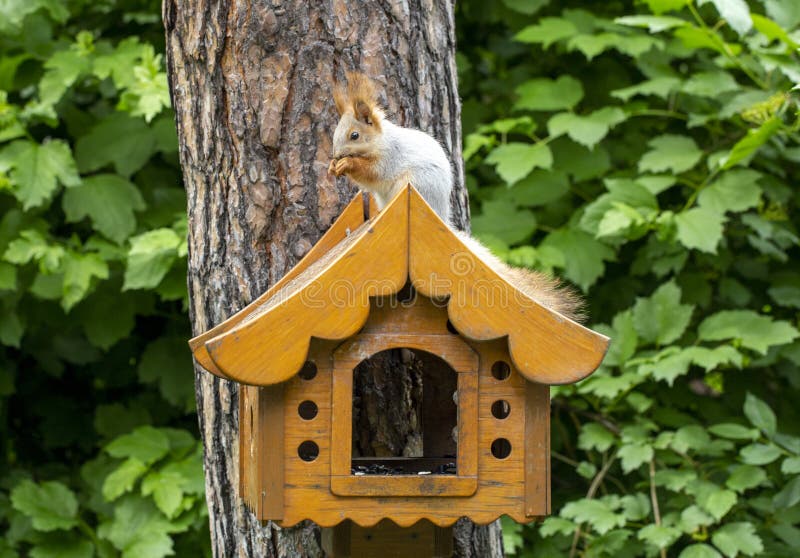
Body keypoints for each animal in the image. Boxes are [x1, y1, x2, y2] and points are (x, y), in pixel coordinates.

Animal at [328, 72, 583, 322]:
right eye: (335, 134)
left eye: (354, 135)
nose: (335, 154)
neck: (380, 141)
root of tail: (440, 214)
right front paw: (333, 167)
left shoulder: (388, 159)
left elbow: (371, 172)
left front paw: (346, 164)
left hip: (413, 185)